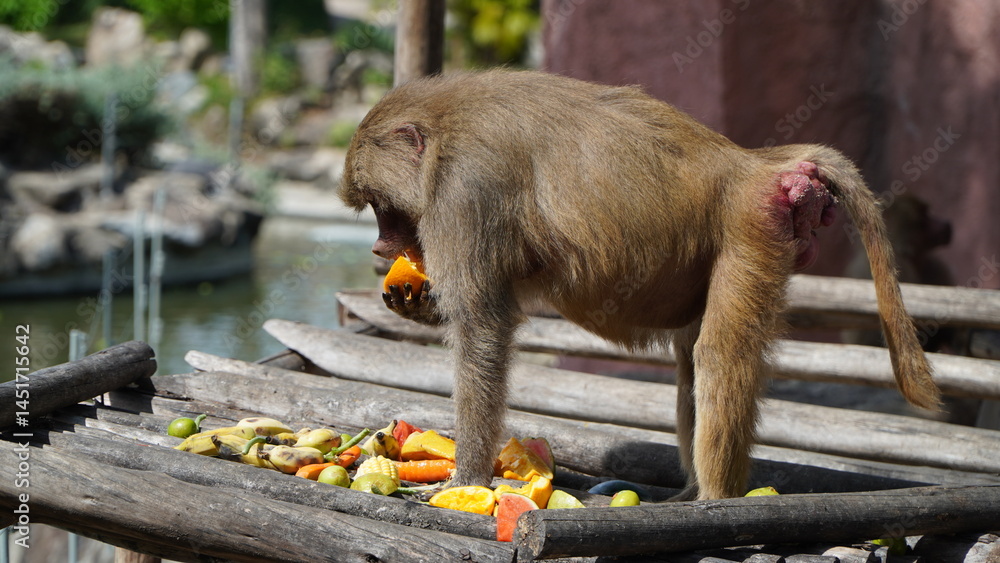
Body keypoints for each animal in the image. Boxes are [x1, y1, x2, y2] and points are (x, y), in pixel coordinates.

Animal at [339, 70, 940, 500]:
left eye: (382, 209)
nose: (380, 249)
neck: (445, 125)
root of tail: (748, 163)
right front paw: (411, 299)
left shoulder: (464, 192)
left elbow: (483, 326)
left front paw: (466, 479)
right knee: (692, 363)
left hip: (752, 225)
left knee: (720, 356)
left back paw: (714, 502)